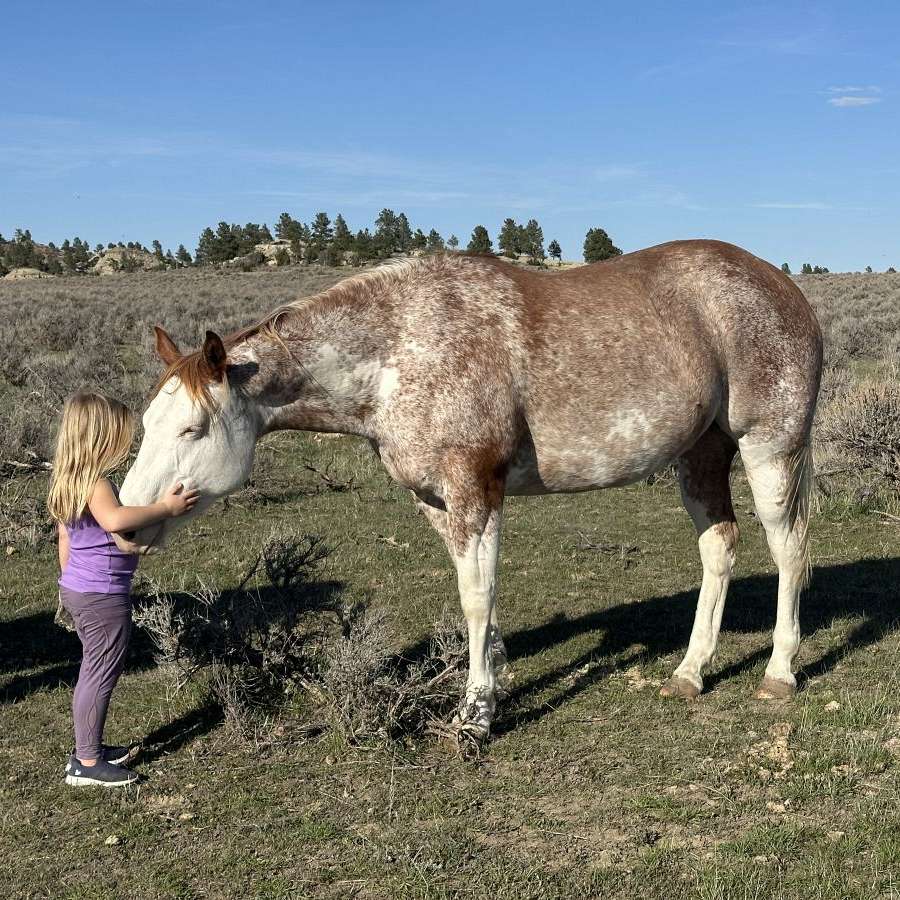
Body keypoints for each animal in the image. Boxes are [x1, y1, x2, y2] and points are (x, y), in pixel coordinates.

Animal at [119, 241, 824, 740]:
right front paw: (495, 675)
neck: (399, 351)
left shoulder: (474, 493)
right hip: (700, 457)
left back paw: (780, 673)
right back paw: (689, 672)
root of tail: (781, 285)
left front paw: (476, 712)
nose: (128, 524)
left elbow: (476, 596)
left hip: (769, 449)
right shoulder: (435, 501)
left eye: (191, 428)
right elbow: (476, 597)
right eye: (148, 423)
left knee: (789, 549)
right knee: (720, 546)